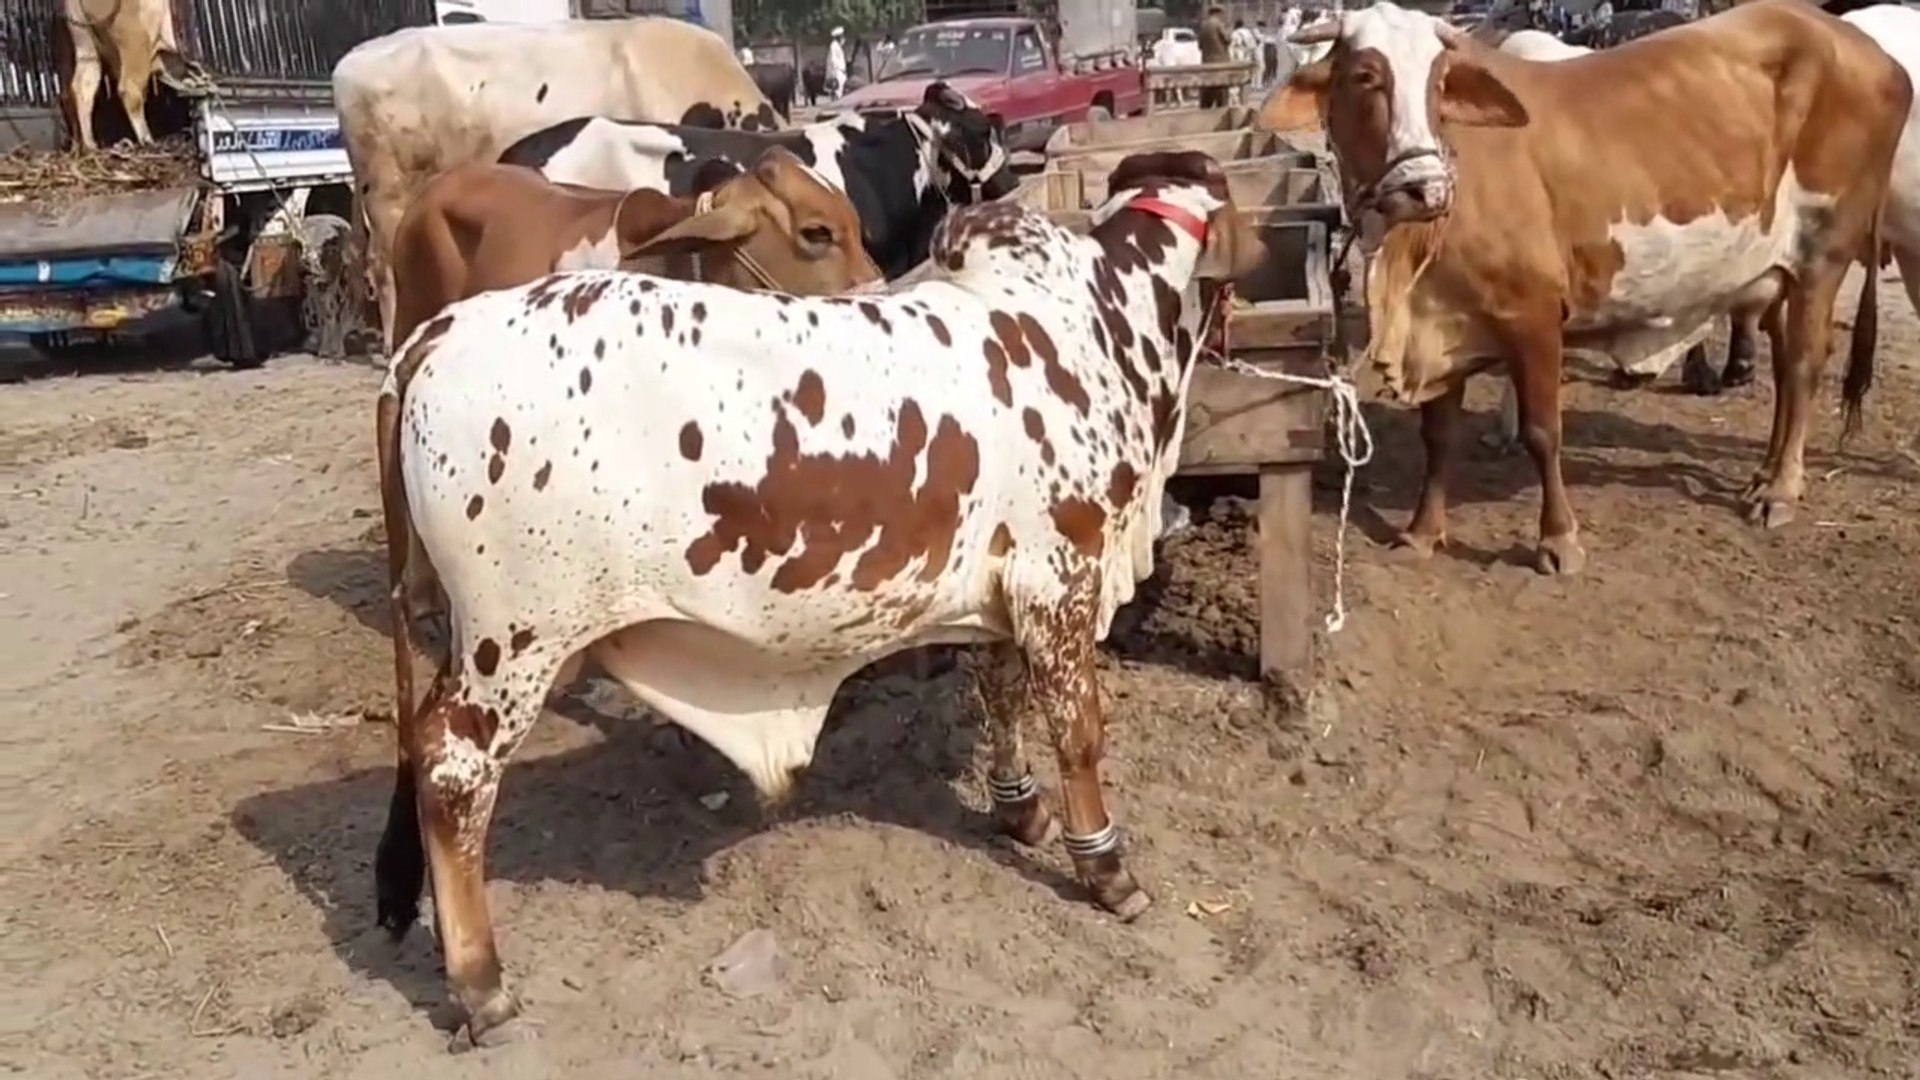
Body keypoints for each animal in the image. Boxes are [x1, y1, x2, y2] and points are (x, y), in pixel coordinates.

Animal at [61, 0, 210, 150]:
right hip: (135, 40)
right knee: (129, 89)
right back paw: (147, 141)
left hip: (86, 47)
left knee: (82, 88)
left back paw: (90, 145)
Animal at [372, 150, 1243, 1047]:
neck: (1095, 322)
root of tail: (437, 336)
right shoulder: (1062, 579)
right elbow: (1079, 734)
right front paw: (1106, 867)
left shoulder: (1009, 588)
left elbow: (1002, 698)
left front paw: (1020, 809)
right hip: (514, 642)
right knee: (453, 772)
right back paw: (481, 984)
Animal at [1259, 0, 1909, 574]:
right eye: (1365, 75)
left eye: (1440, 82)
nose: (1427, 187)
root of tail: (1871, 50)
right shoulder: (1443, 321)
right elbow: (1438, 436)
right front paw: (1422, 532)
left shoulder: (1535, 315)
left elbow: (1543, 433)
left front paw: (1558, 540)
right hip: (1778, 272)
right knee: (1782, 362)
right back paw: (1765, 473)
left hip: (1824, 256)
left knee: (1801, 367)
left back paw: (1781, 488)